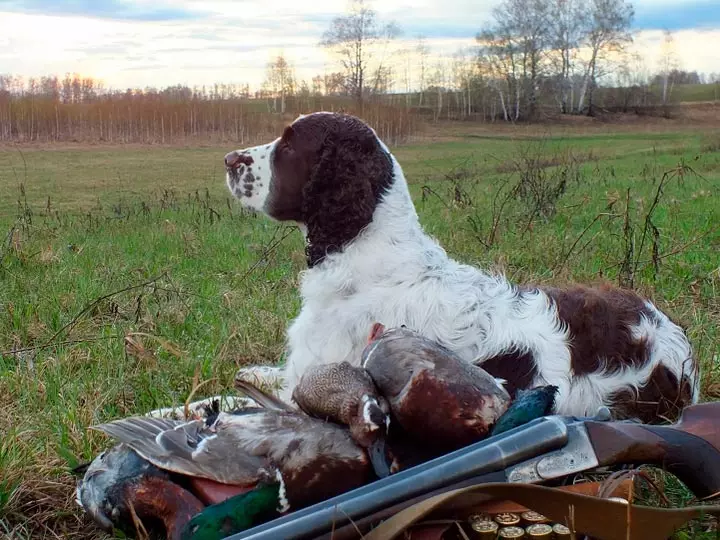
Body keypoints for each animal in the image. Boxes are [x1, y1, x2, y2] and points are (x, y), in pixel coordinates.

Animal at [224, 112, 696, 424]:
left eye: (289, 146)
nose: (229, 159)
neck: (366, 250)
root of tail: (679, 359)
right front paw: (252, 370)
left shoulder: (316, 379)